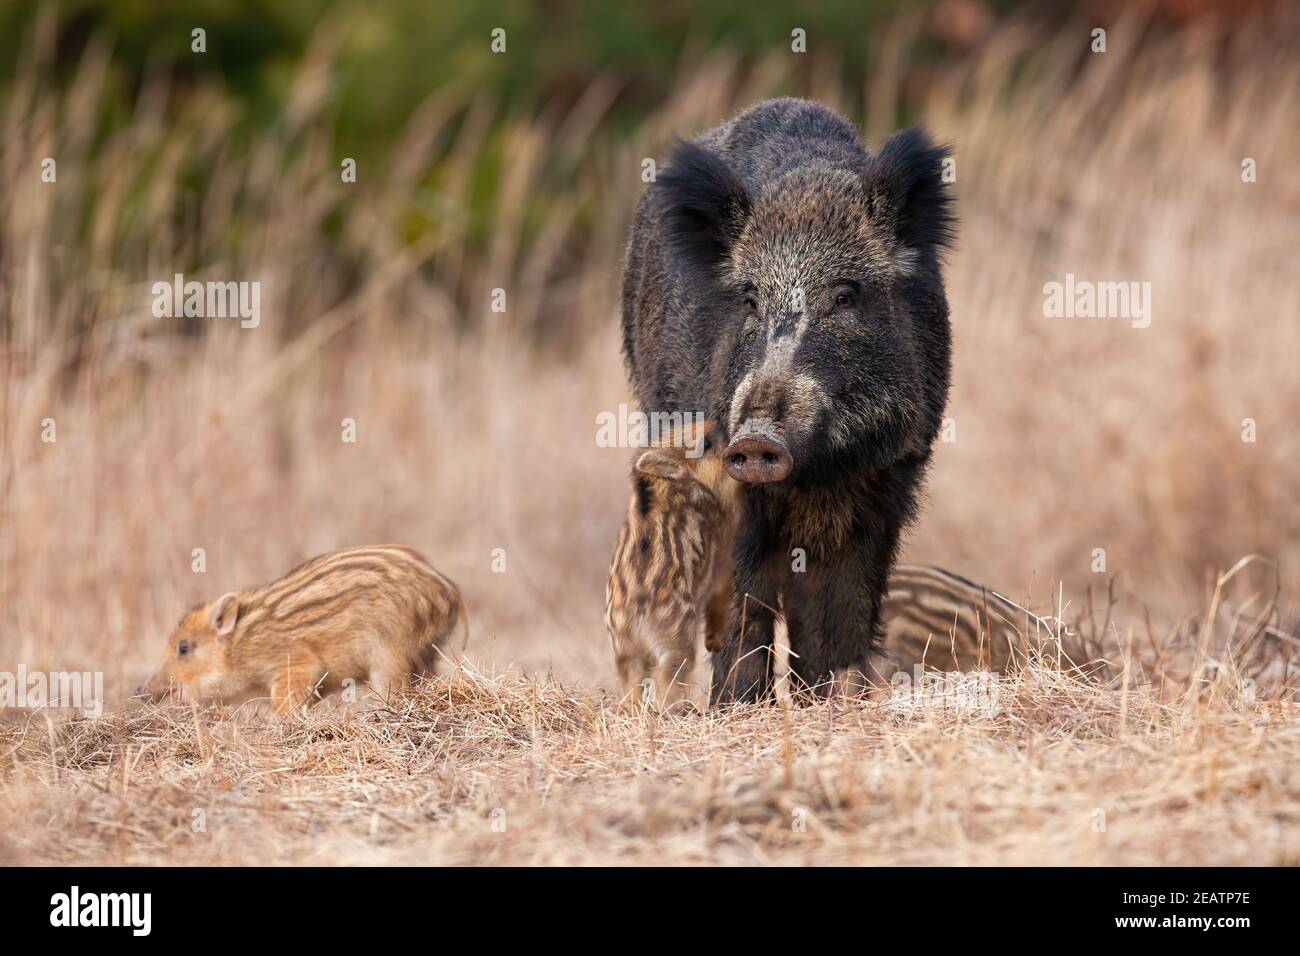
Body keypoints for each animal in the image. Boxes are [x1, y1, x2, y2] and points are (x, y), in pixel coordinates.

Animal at [137, 545, 467, 713]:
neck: (241, 646)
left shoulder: (296, 666)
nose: (140, 690)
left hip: (390, 653)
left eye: (184, 647)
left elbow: (284, 703)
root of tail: (449, 591)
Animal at [621, 98, 956, 703]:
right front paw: (735, 706)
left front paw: (837, 693)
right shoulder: (731, 487)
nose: (756, 438)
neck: (816, 473)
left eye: (845, 295)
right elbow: (743, 590)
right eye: (751, 298)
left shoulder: (891, 480)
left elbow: (847, 597)